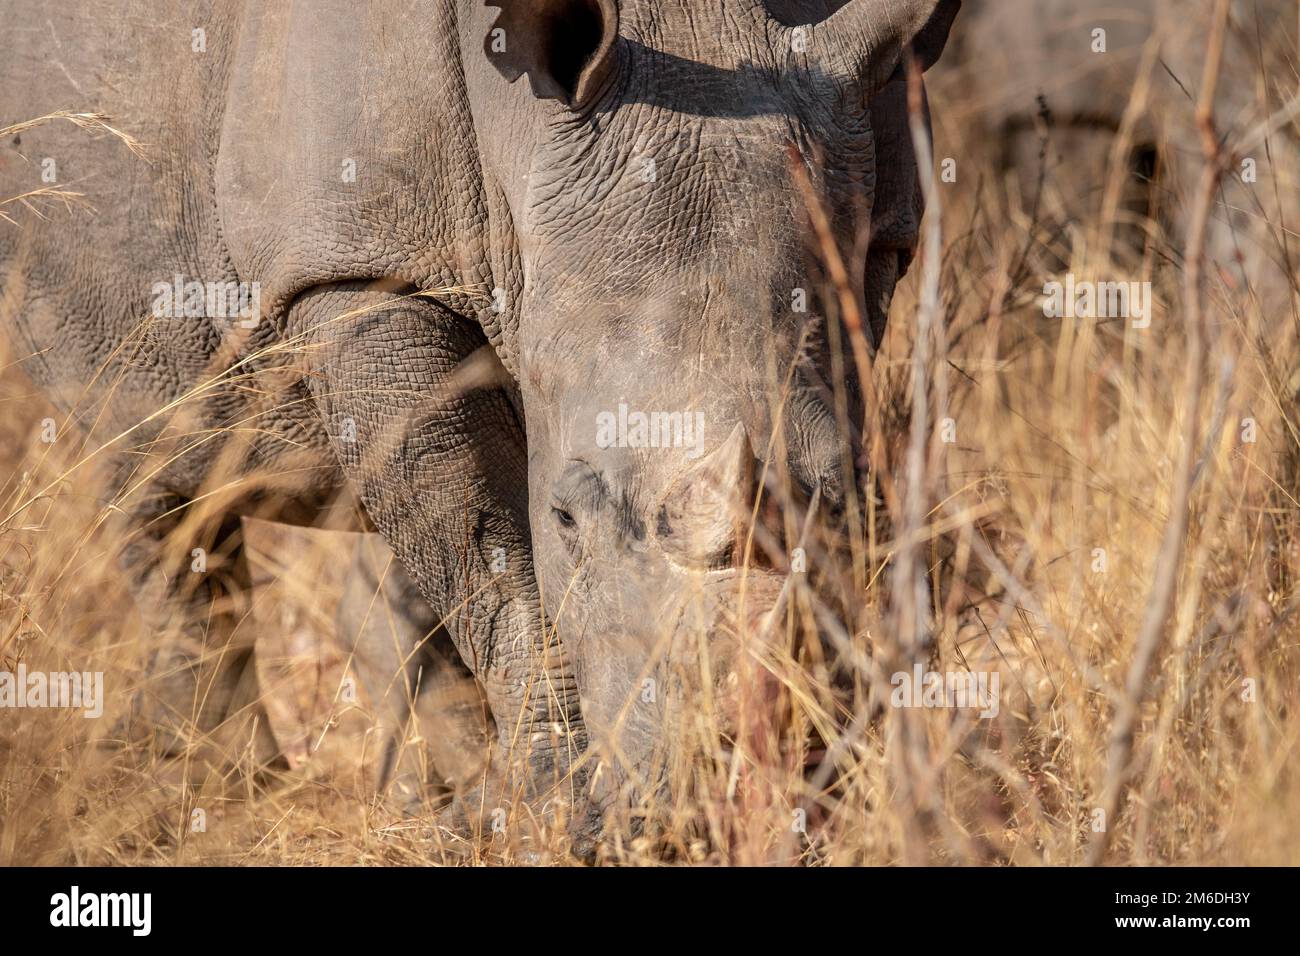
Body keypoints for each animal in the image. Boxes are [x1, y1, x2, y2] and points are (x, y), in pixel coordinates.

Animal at [0, 0, 959, 854]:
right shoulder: (354, 270)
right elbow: (484, 542)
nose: (732, 777)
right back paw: (224, 796)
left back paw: (432, 806)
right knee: (152, 456)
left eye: (860, 499)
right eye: (569, 517)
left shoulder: (880, 224)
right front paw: (563, 813)